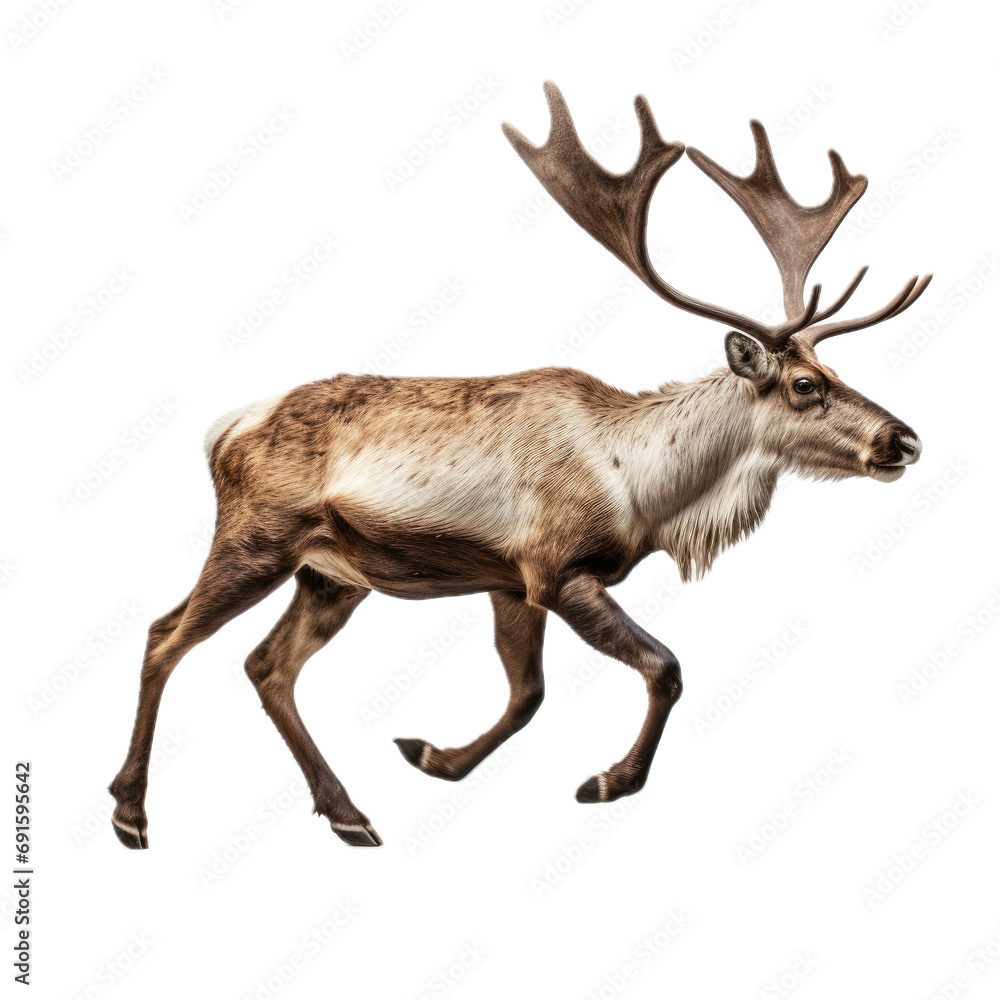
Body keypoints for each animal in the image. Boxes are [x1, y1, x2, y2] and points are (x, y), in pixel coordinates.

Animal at [109, 82, 929, 849]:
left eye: (835, 370)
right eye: (805, 385)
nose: (904, 440)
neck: (646, 493)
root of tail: (226, 431)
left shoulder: (510, 581)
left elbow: (526, 694)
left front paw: (431, 755)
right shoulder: (559, 568)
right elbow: (663, 666)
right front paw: (608, 780)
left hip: (333, 574)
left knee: (267, 665)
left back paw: (347, 813)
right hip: (258, 537)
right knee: (164, 635)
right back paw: (130, 811)